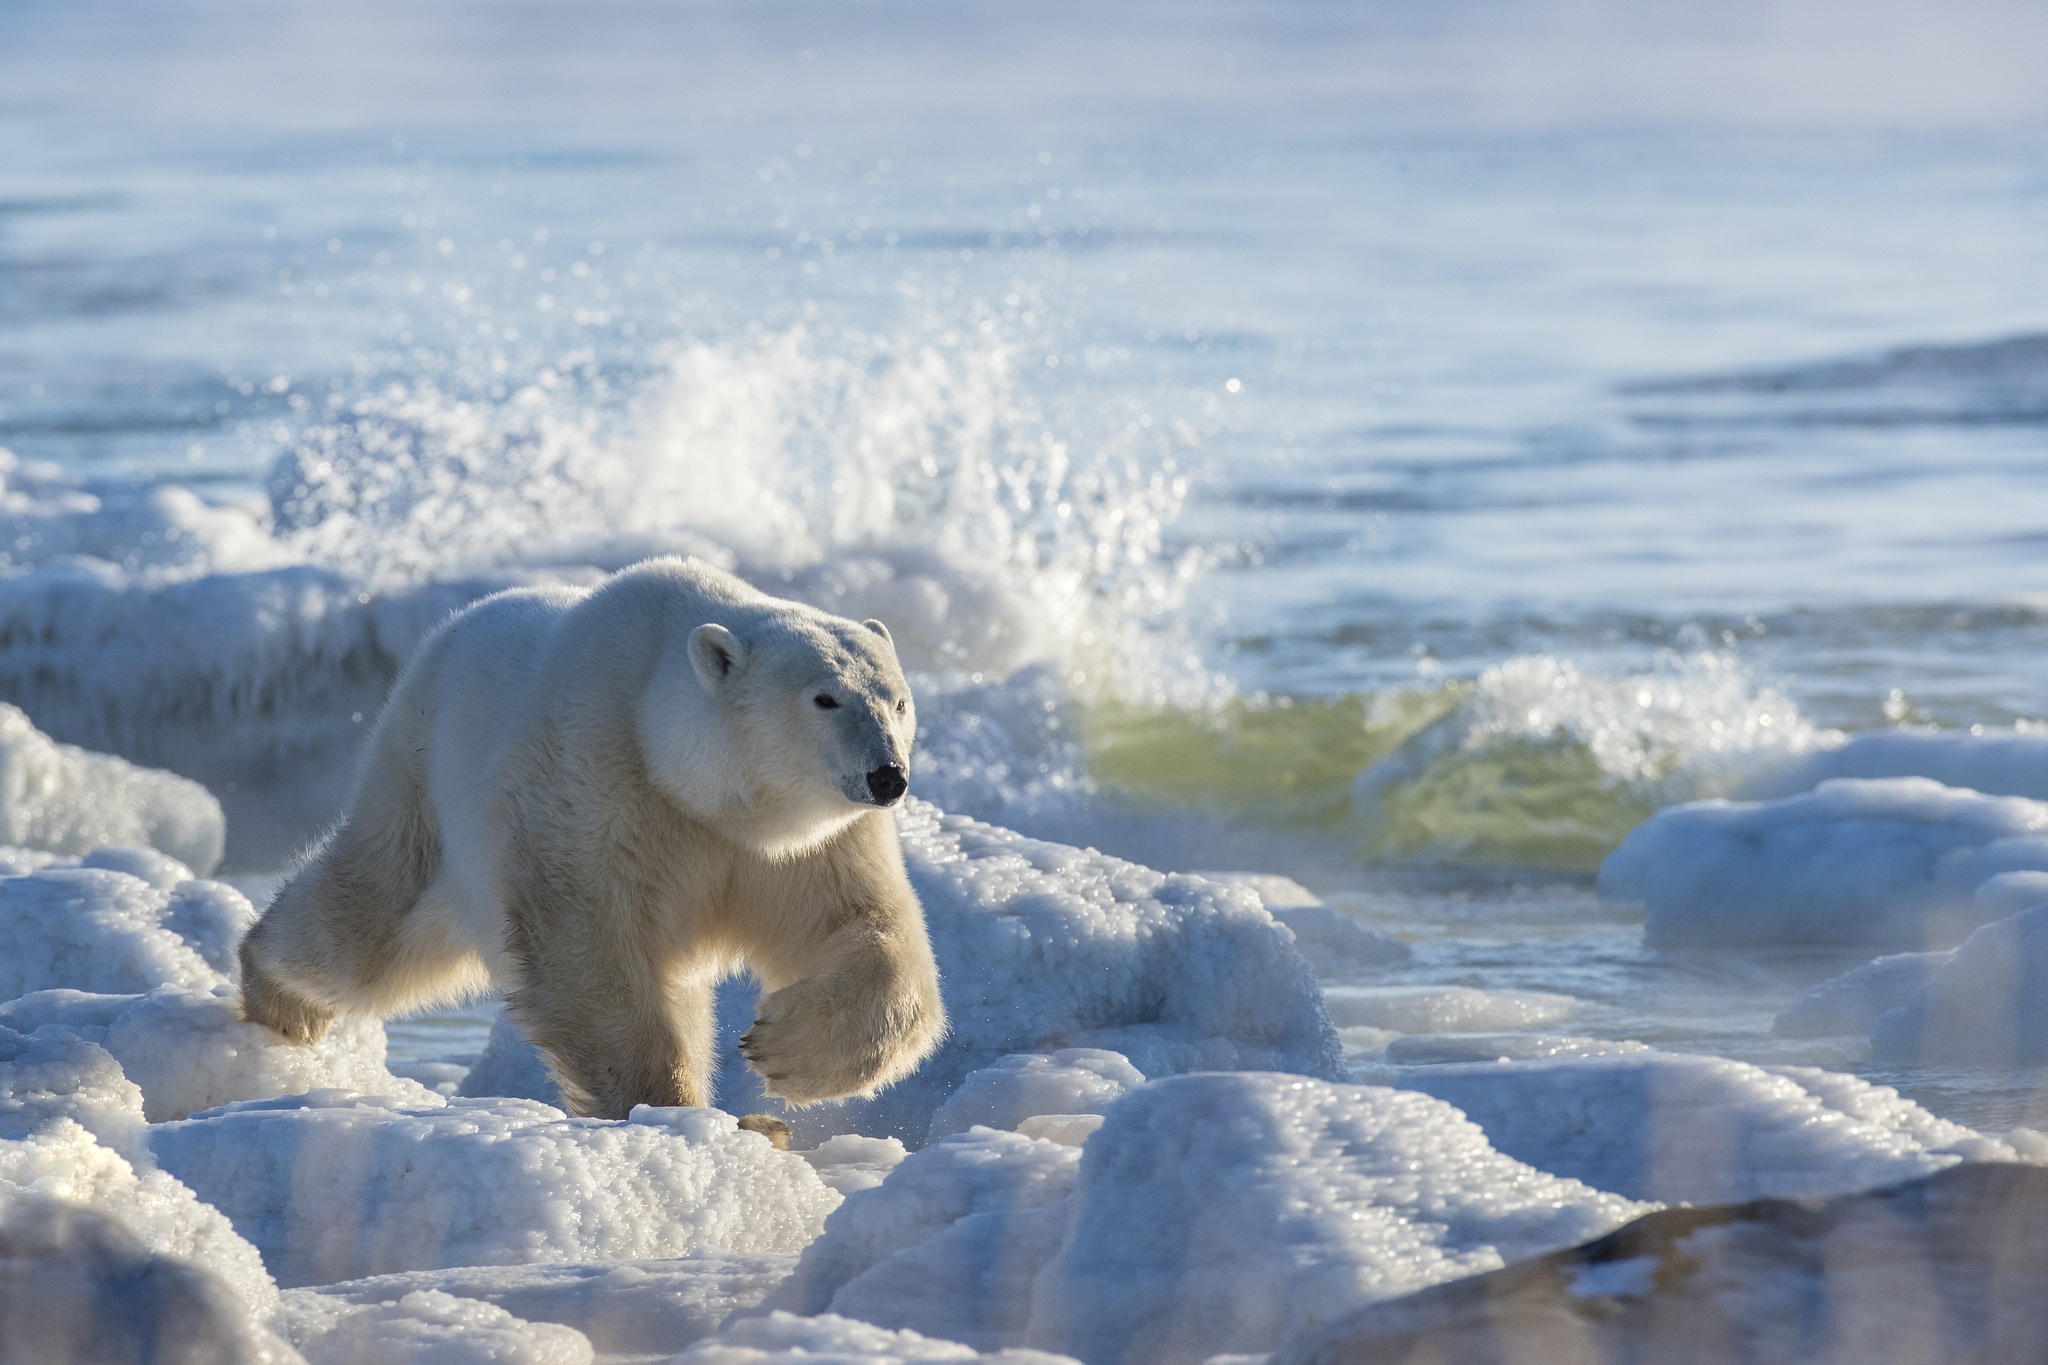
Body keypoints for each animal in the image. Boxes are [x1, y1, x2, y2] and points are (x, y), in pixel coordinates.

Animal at [238, 556, 947, 1120]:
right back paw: (278, 997)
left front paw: (780, 1052)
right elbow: (589, 945)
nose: (888, 776)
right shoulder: (593, 782)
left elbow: (858, 924)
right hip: (424, 779)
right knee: (374, 927)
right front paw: (663, 1106)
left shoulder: (803, 844)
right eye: (825, 699)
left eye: (898, 700)